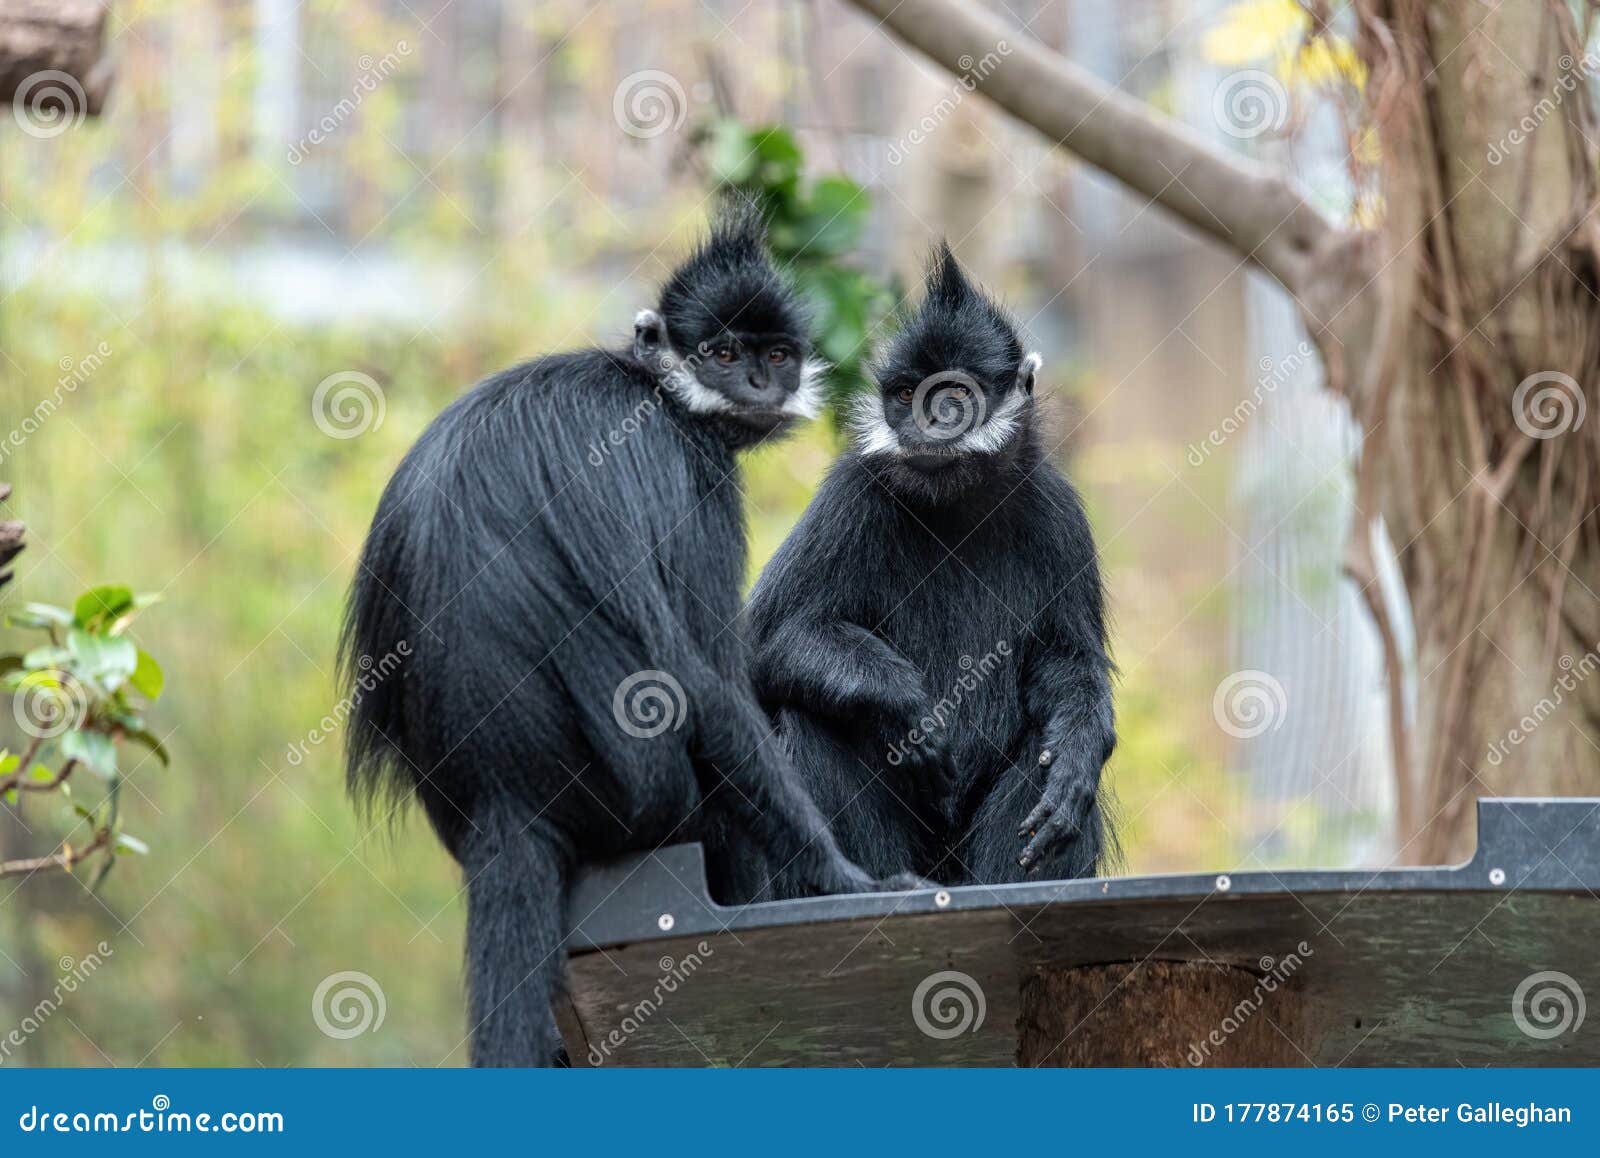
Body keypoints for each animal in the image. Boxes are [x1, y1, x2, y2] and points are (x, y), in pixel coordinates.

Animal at [341, 202, 921, 1067]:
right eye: (721, 354)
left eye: (775, 355)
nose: (758, 383)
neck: (652, 387)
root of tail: (503, 792)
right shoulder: (690, 466)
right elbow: (703, 679)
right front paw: (844, 881)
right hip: (653, 802)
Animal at [746, 243, 1116, 895]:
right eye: (905, 395)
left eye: (954, 396)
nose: (926, 422)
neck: (955, 509)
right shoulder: (851, 495)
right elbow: (760, 644)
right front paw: (903, 704)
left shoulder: (1059, 516)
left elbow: (1069, 663)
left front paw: (1075, 755)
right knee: (812, 715)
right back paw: (883, 884)